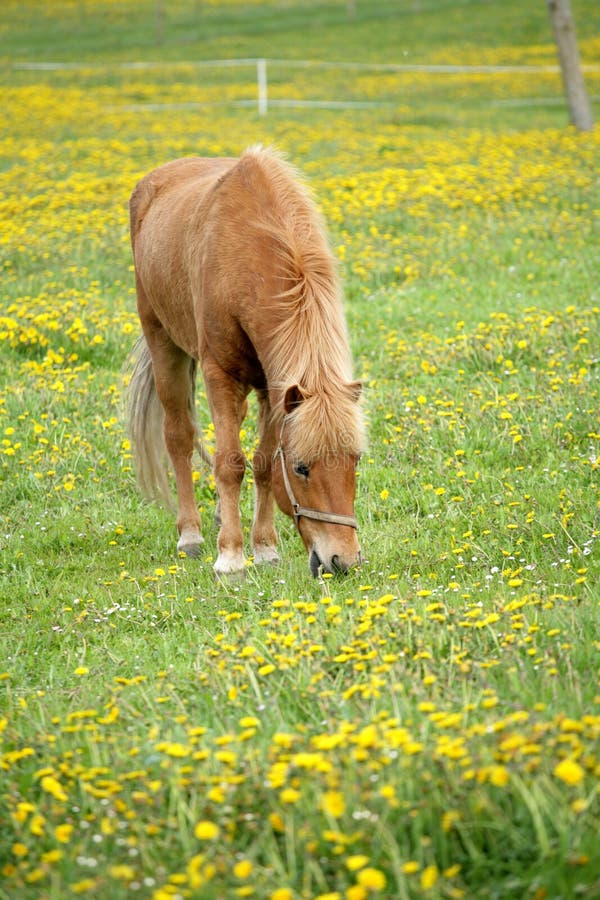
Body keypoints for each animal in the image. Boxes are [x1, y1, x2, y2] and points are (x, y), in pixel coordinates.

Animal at [126, 145, 364, 577]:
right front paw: (231, 556)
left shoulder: (274, 388)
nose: (342, 561)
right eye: (301, 467)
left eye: (354, 460)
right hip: (163, 343)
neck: (247, 254)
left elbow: (263, 462)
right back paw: (191, 534)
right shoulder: (220, 373)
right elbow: (230, 462)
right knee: (178, 436)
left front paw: (264, 548)